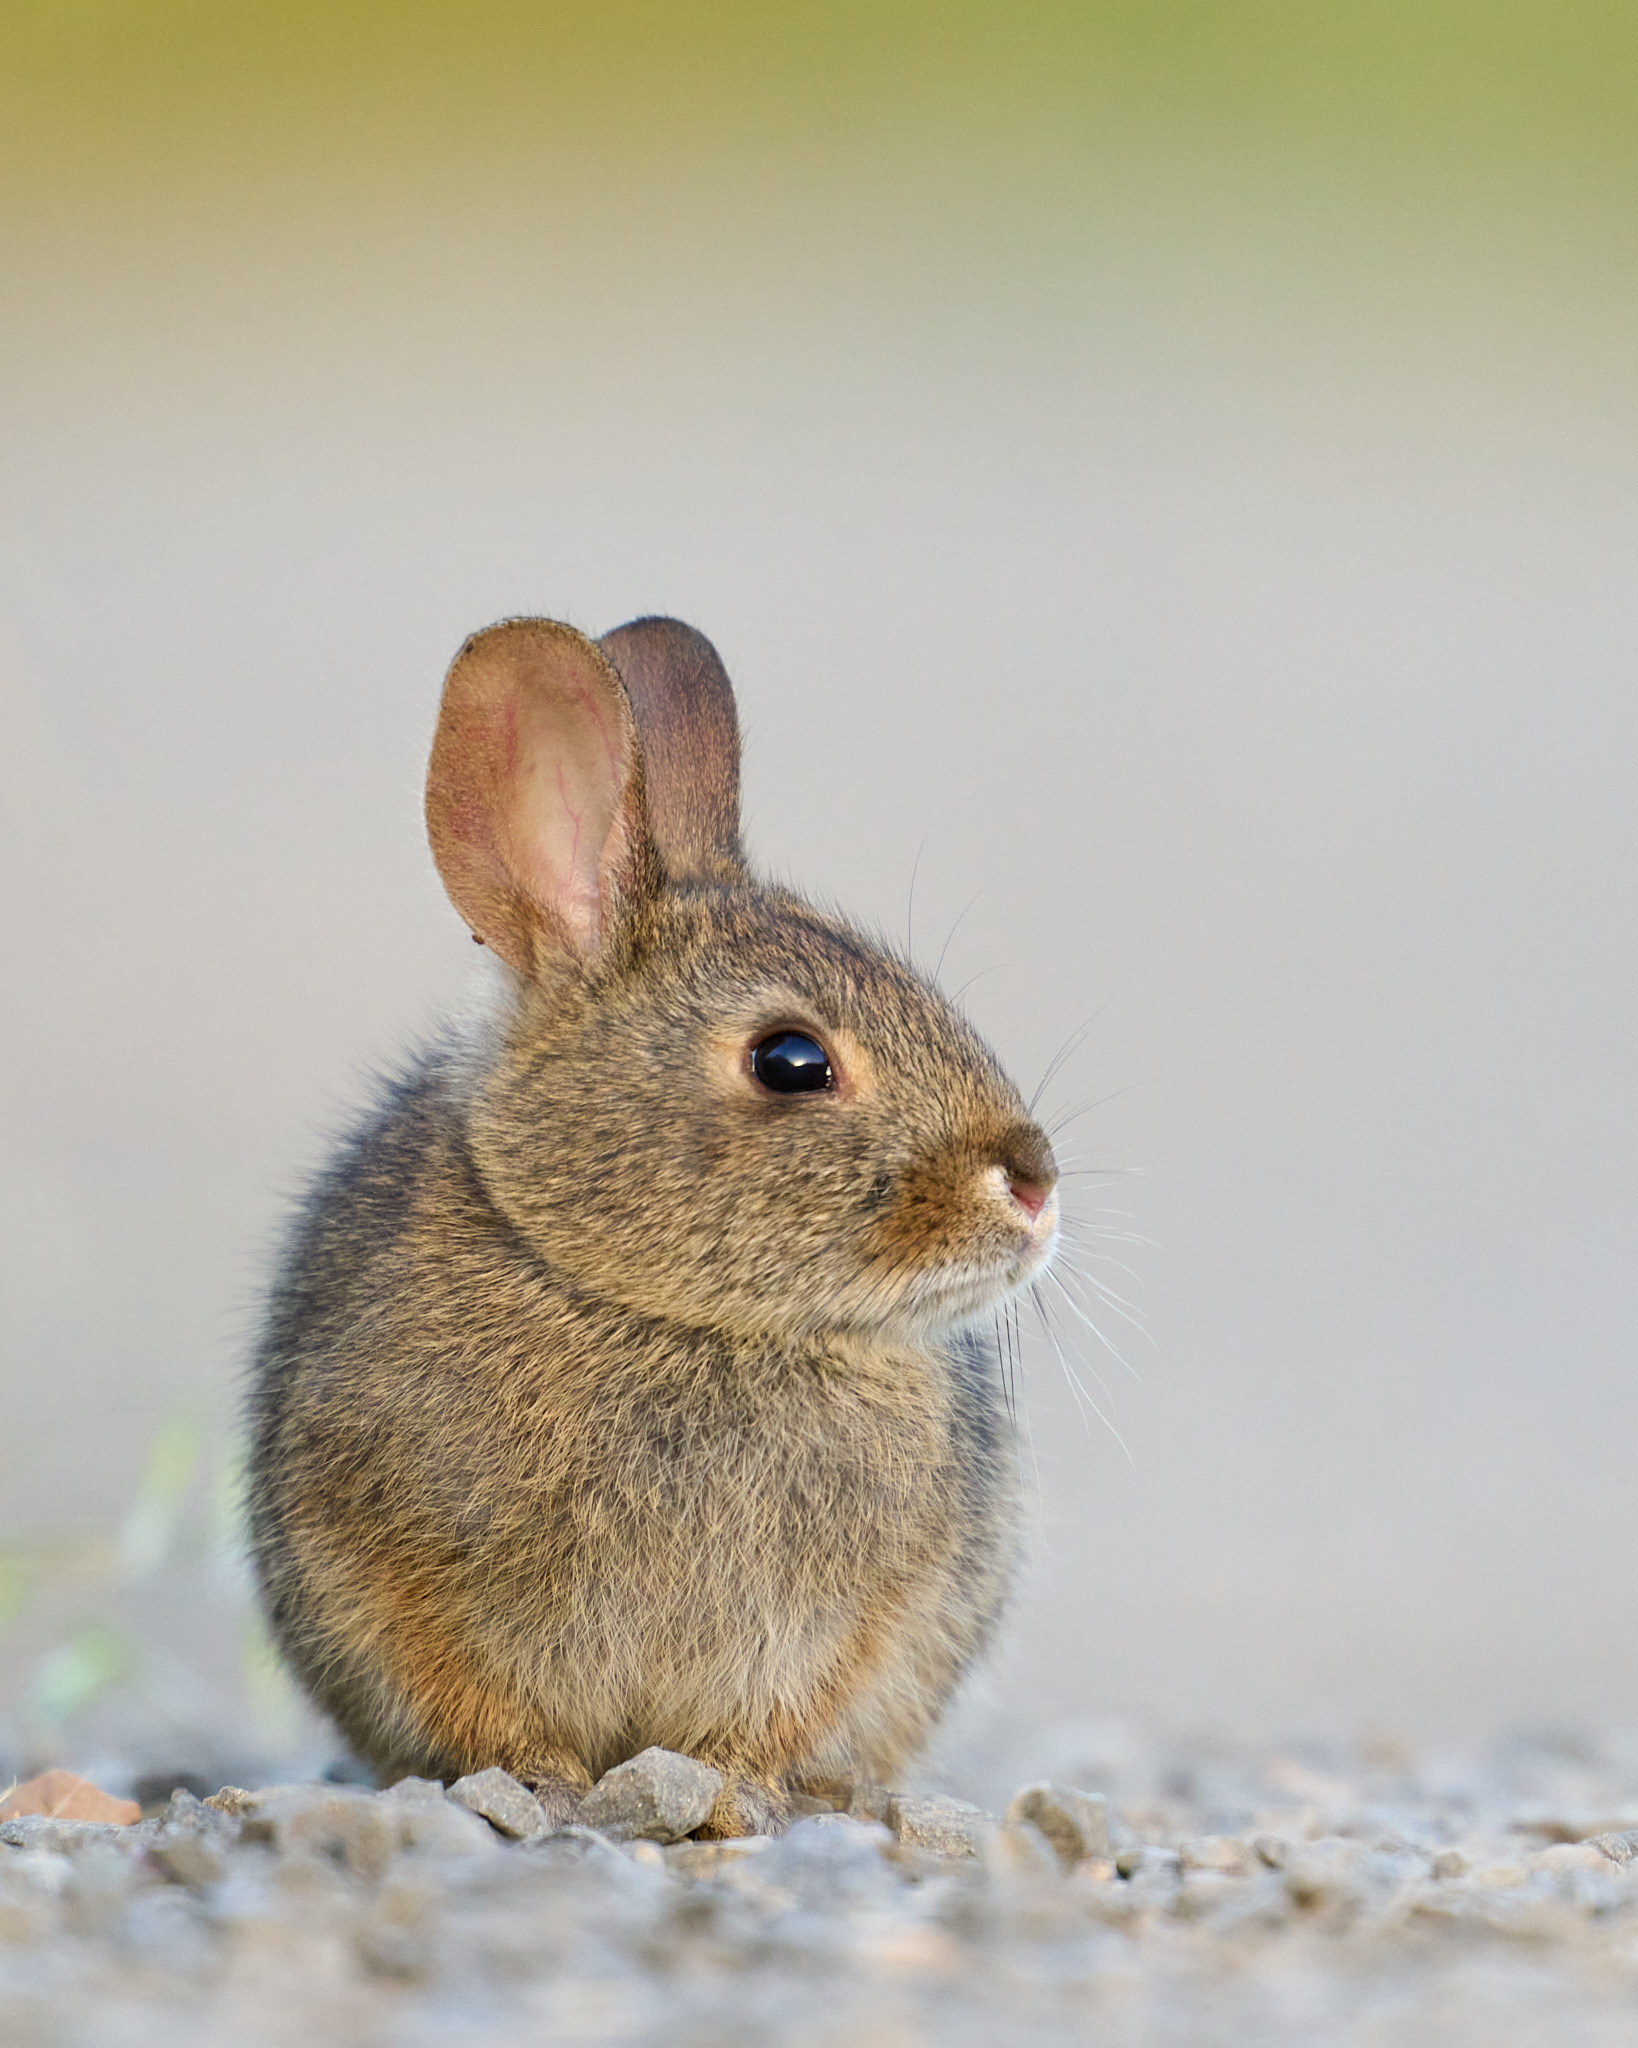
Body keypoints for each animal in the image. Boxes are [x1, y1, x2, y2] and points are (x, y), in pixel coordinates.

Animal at [247, 615, 1060, 1836]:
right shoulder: (378, 1566)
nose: (1035, 1183)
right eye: (791, 1060)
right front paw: (539, 1783)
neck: (664, 1314)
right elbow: (463, 1692)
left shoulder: (865, 1618)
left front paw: (728, 1795)